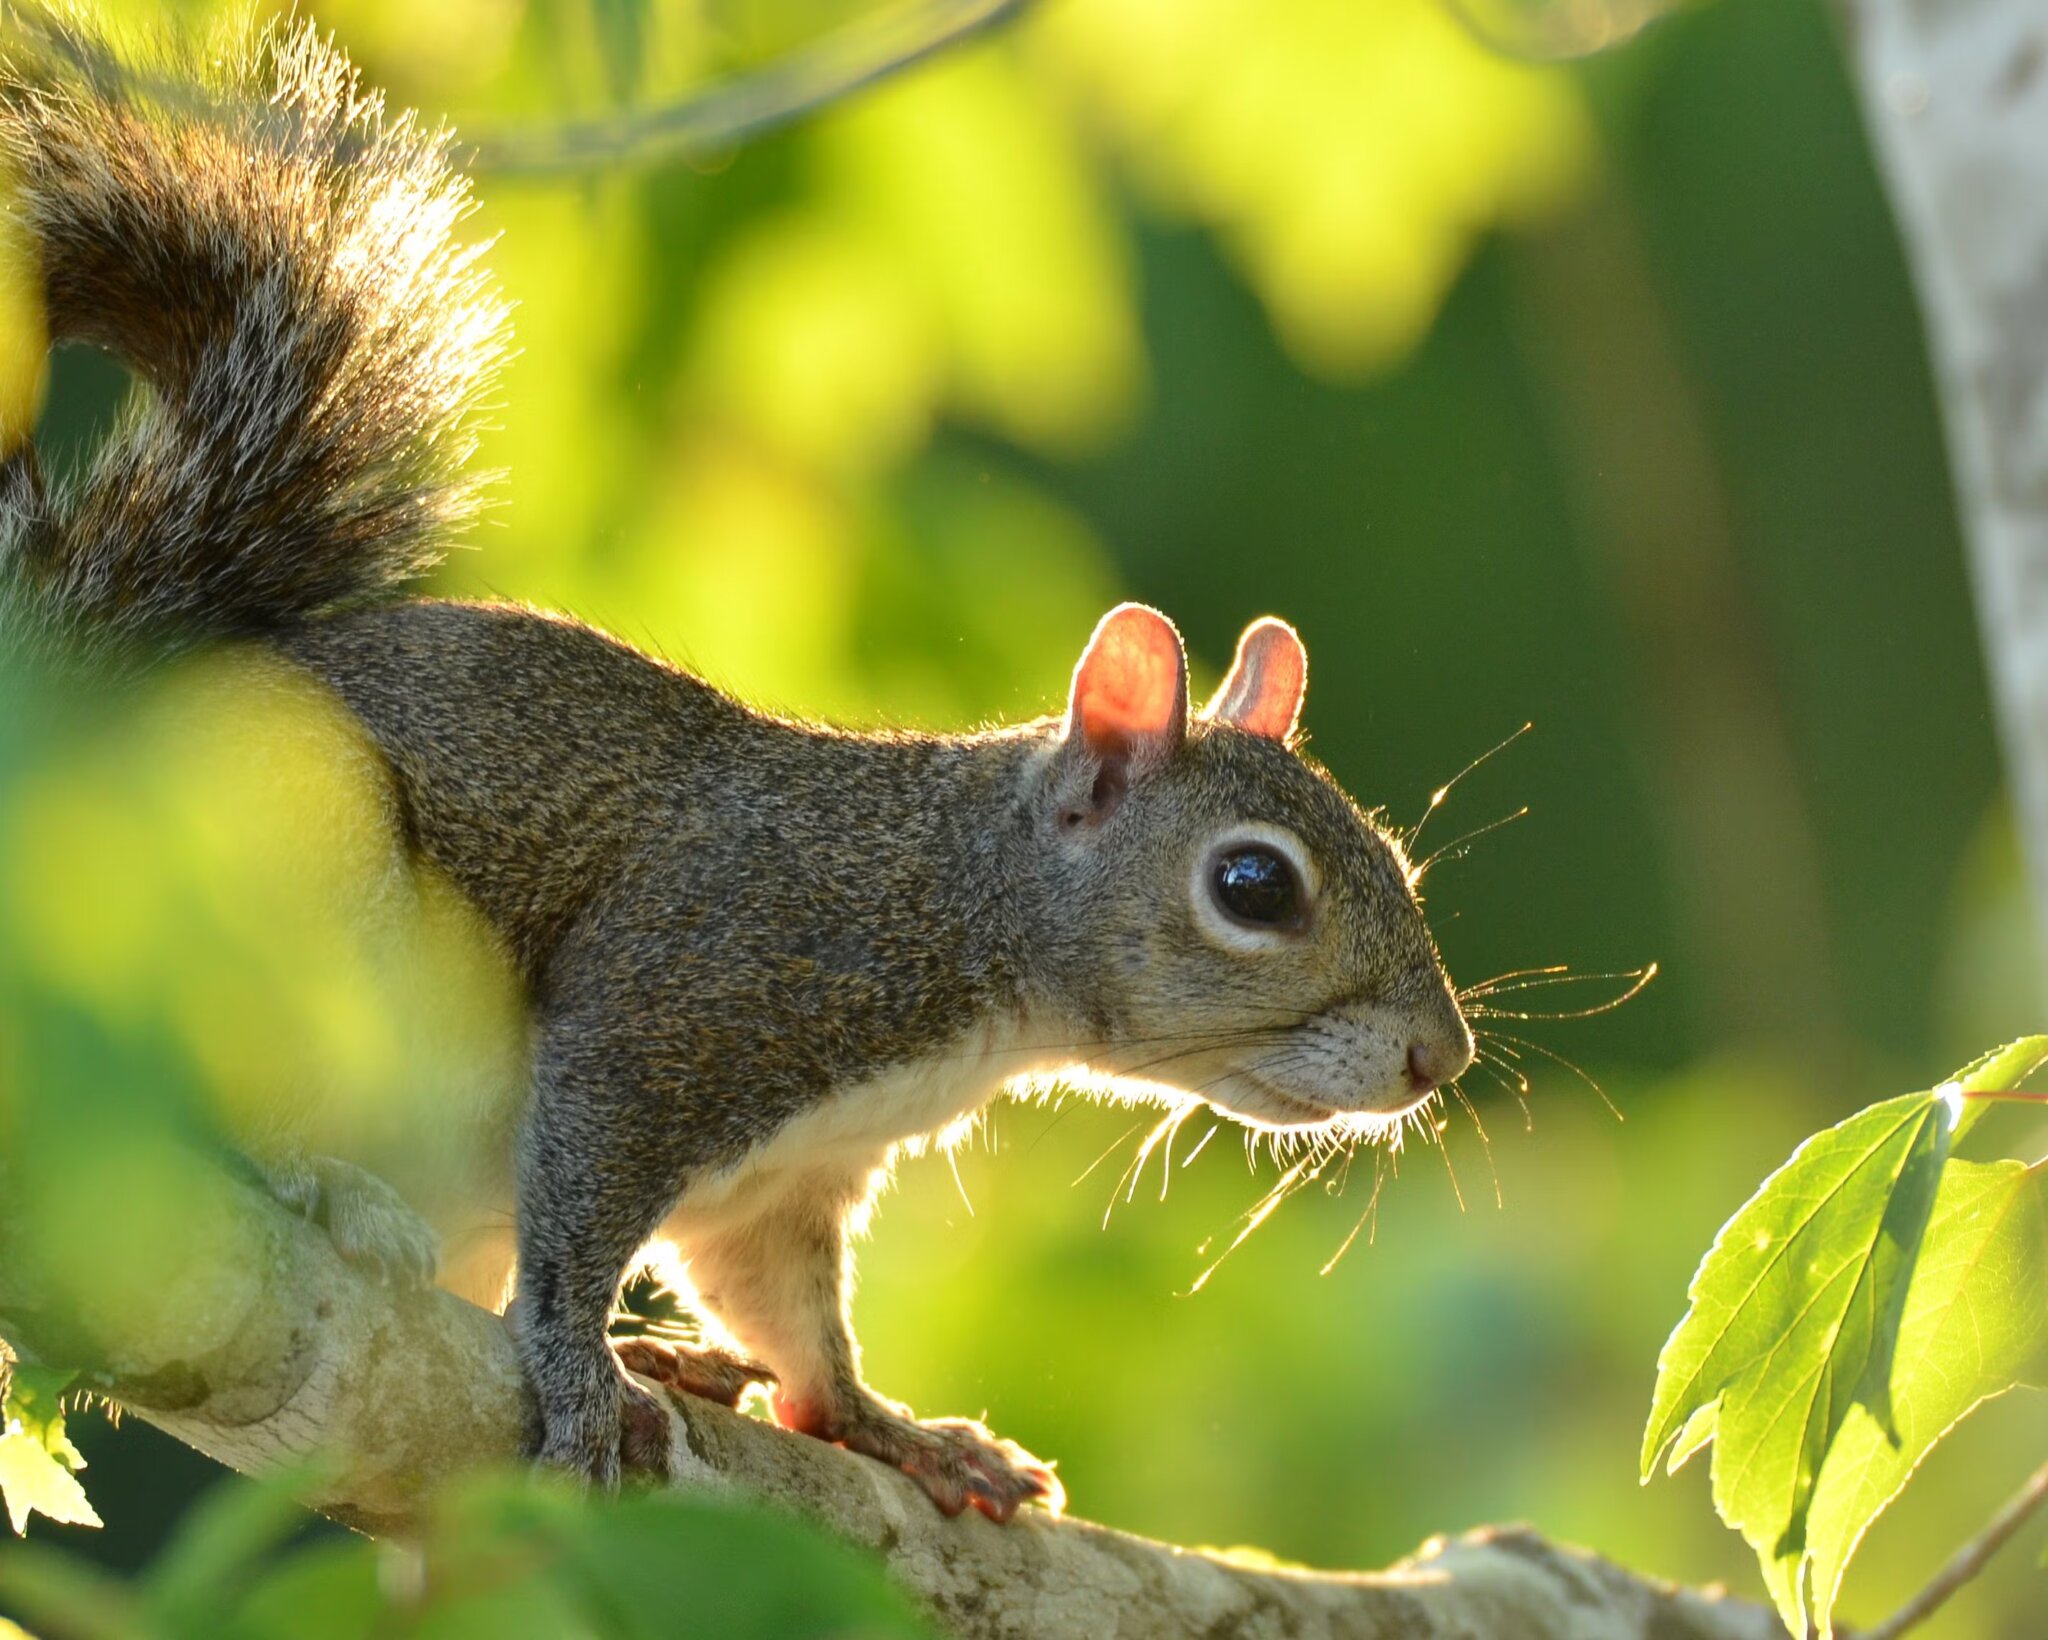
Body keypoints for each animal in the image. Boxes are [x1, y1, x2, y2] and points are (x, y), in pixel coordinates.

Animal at [0, 14, 1475, 1521]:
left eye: (1398, 861)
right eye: (1253, 885)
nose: (1441, 1059)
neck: (961, 912)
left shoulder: (787, 1182)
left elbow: (788, 1309)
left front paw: (891, 1427)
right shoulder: (688, 993)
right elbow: (583, 1205)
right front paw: (582, 1370)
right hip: (274, 901)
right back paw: (333, 1193)